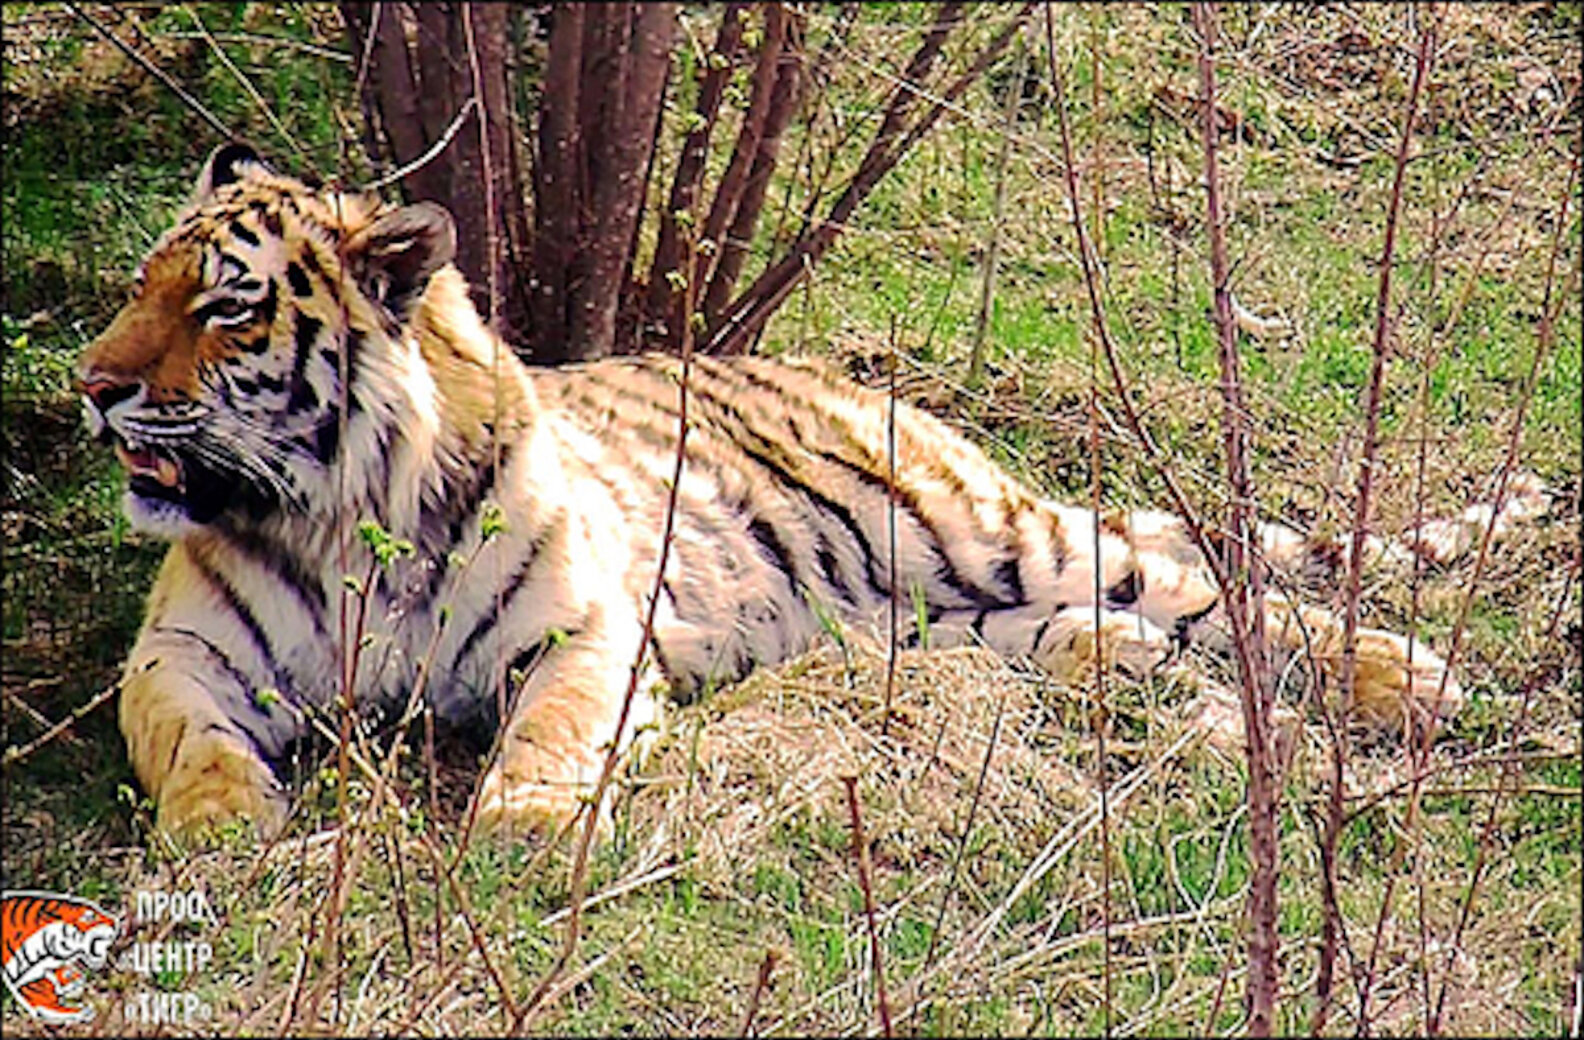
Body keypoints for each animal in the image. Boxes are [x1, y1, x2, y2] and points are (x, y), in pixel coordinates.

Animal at [75, 144, 1465, 839]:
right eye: (139, 283)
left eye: (225, 306)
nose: (90, 386)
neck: (342, 512)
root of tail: (838, 376)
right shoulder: (182, 654)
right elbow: (184, 739)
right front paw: (226, 829)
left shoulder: (582, 637)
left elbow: (553, 730)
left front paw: (526, 822)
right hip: (915, 609)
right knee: (1066, 625)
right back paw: (1117, 658)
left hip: (983, 532)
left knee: (1209, 582)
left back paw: (1410, 678)